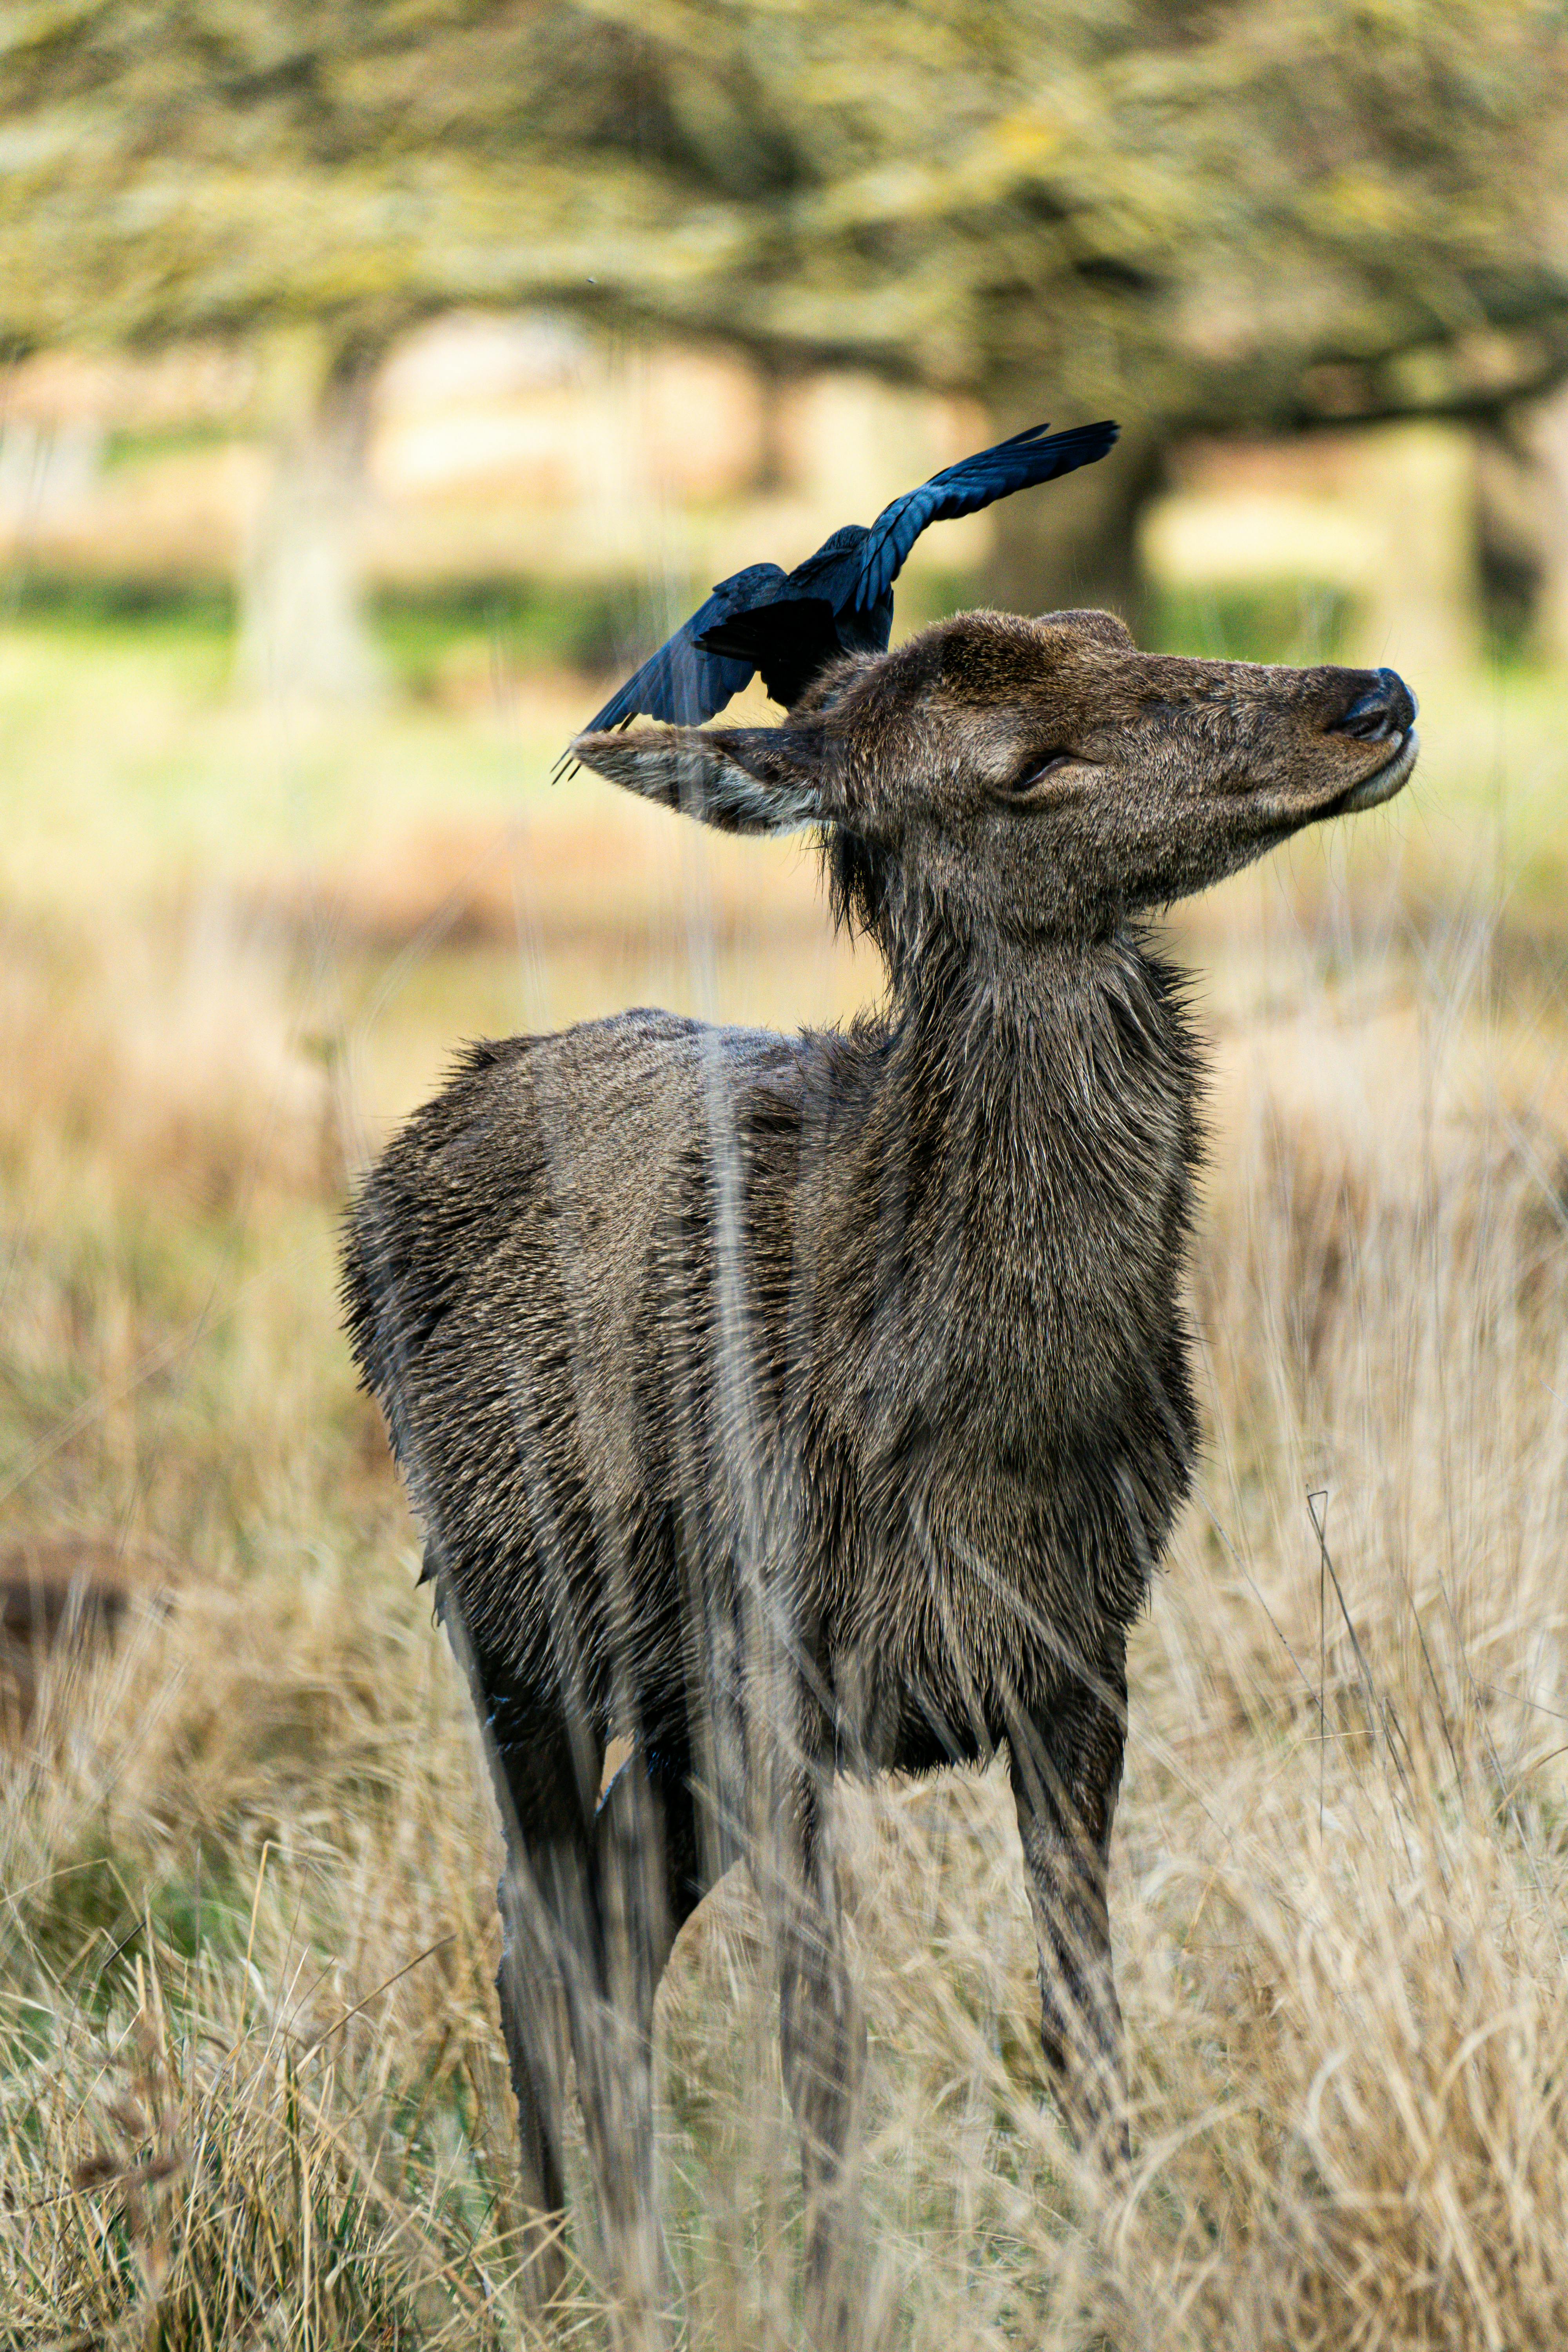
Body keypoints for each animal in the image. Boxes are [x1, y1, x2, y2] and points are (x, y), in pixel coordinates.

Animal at [342, 606, 1418, 2347]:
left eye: (1113, 635)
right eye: (1025, 766)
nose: (1368, 698)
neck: (979, 1456)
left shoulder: (1081, 1657)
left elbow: (1082, 2023)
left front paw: (1119, 2273)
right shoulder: (771, 1670)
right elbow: (824, 2058)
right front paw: (836, 2301)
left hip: (666, 1705)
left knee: (608, 1929)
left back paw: (620, 2267)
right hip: (506, 1628)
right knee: (535, 1932)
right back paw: (573, 2278)